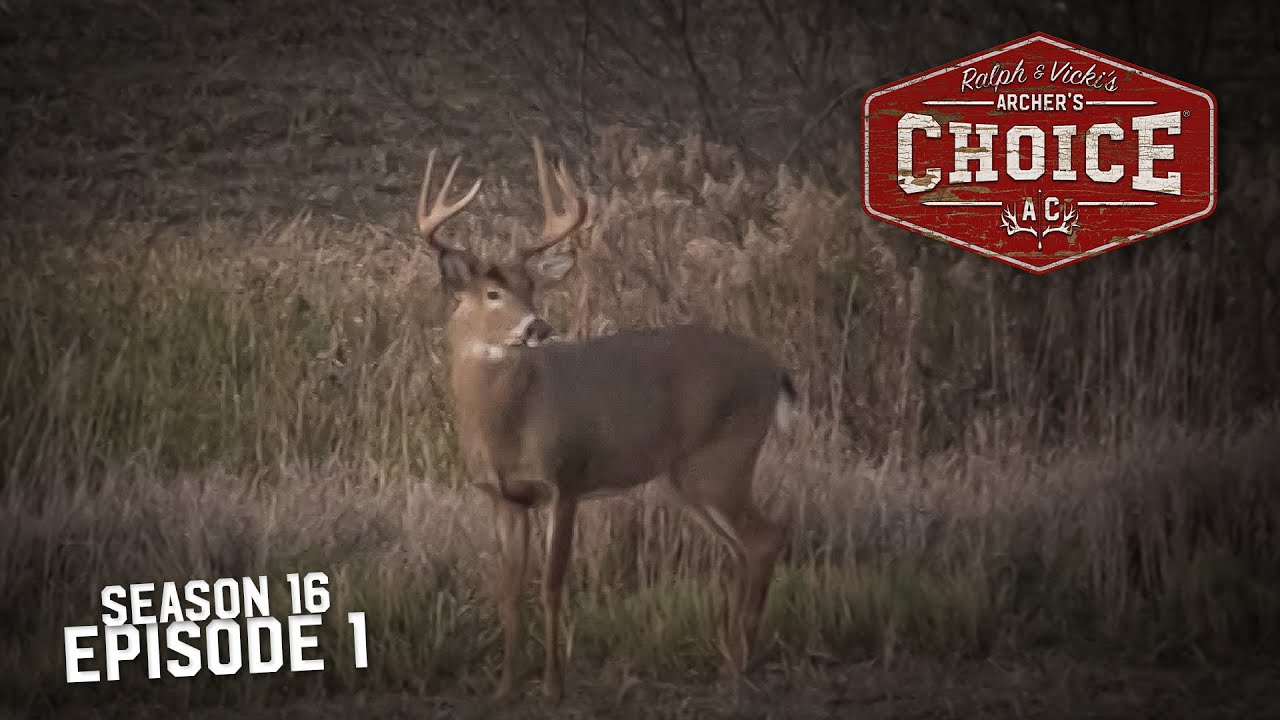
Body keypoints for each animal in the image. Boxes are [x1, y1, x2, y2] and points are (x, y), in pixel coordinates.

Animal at [415, 137, 795, 702]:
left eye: (533, 287)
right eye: (492, 293)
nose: (538, 327)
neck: (508, 425)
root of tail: (774, 369)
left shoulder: (566, 477)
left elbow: (552, 584)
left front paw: (553, 686)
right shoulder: (502, 497)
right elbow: (509, 589)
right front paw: (506, 685)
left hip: (723, 457)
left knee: (764, 538)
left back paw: (741, 664)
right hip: (686, 478)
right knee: (740, 548)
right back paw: (732, 656)